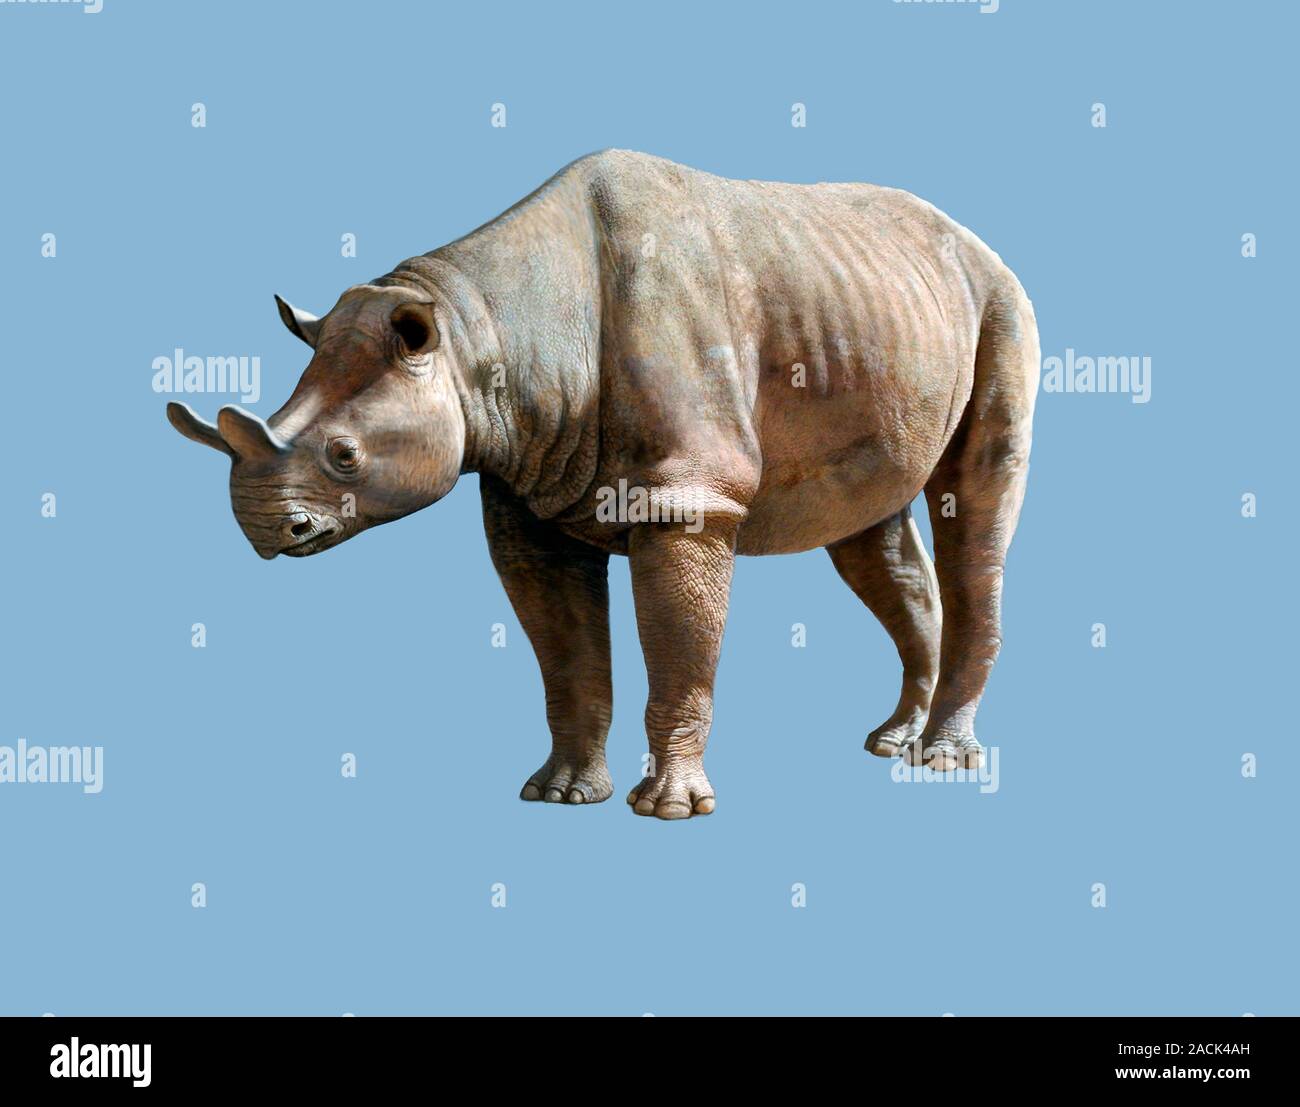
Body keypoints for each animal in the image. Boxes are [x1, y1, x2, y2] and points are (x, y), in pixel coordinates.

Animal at [168, 150, 1039, 820]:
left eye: (344, 456)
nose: (261, 527)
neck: (479, 331)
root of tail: (976, 241)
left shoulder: (689, 497)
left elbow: (680, 650)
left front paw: (672, 809)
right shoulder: (530, 502)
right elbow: (568, 655)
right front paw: (559, 794)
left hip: (1000, 304)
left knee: (976, 505)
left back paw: (943, 759)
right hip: (874, 313)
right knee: (870, 531)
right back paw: (892, 740)